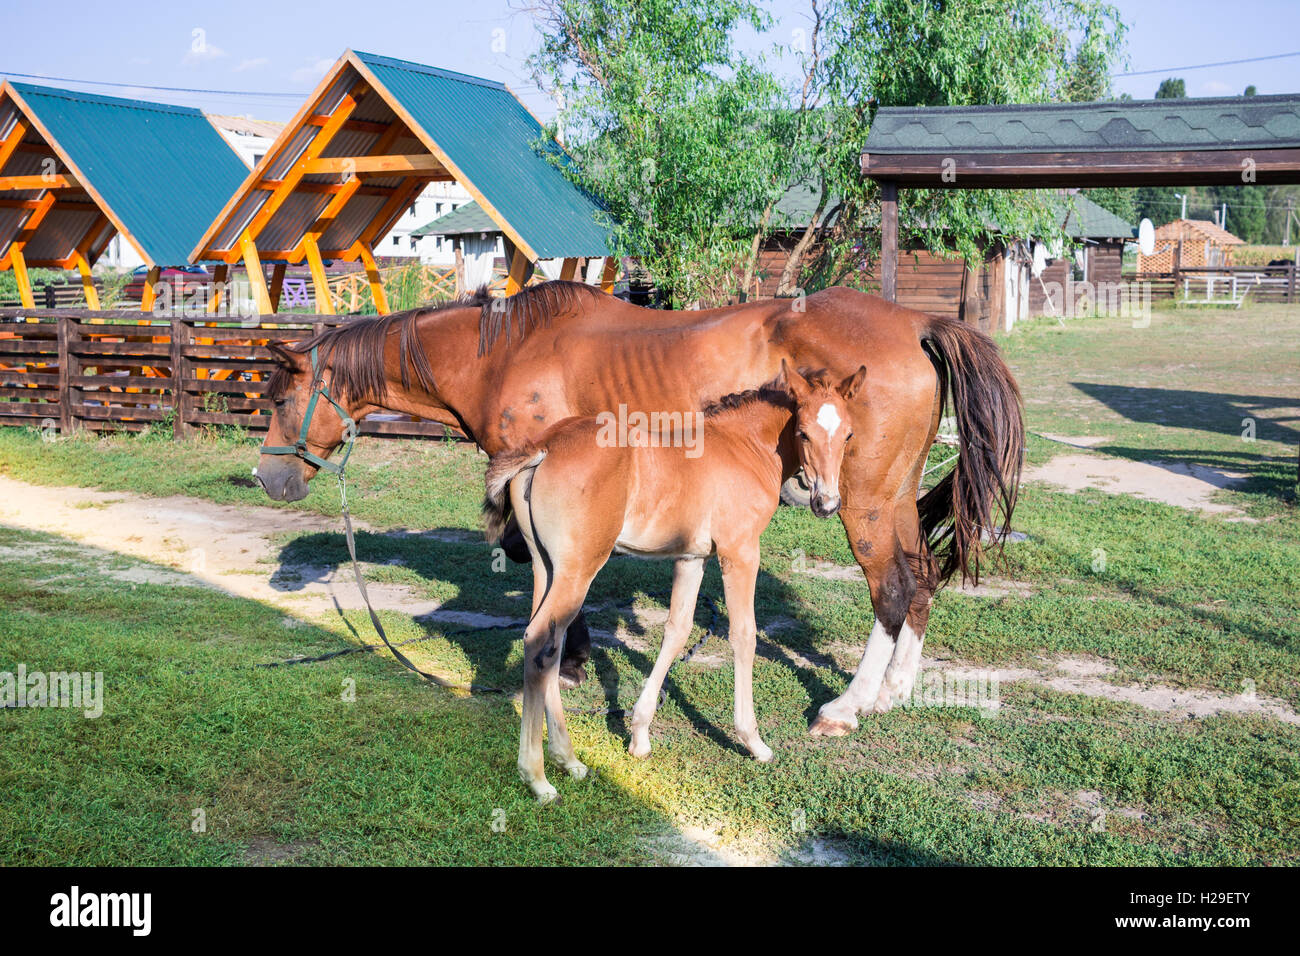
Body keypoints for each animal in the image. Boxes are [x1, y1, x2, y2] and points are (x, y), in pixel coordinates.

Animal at [256, 281, 1023, 736]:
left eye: (281, 396)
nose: (268, 478)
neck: (504, 351)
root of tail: (915, 321)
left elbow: (554, 577)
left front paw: (567, 661)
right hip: (893, 500)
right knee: (920, 580)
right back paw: (893, 691)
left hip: (859, 501)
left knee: (890, 588)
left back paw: (847, 706)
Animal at [481, 360, 866, 801]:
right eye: (803, 432)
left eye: (848, 434)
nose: (827, 503)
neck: (743, 446)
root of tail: (544, 446)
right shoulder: (740, 552)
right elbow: (744, 635)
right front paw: (753, 741)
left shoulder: (691, 558)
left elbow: (677, 630)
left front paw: (639, 735)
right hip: (580, 568)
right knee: (541, 642)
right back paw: (538, 778)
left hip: (546, 568)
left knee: (550, 642)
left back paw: (570, 760)